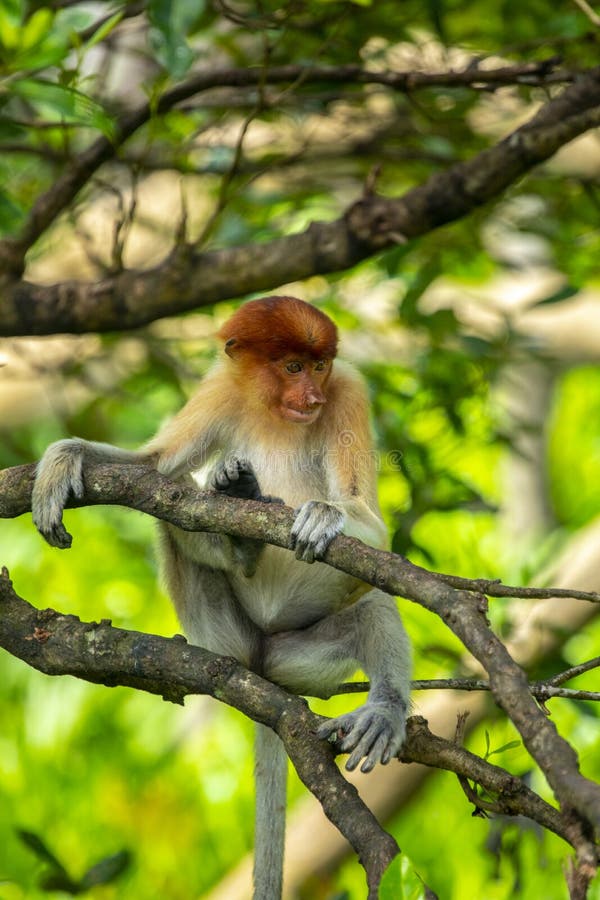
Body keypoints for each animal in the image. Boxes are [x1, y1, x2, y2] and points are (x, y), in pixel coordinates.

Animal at [31, 296, 412, 900]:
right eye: (292, 367)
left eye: (320, 366)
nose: (313, 399)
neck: (274, 413)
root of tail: (261, 660)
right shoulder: (220, 391)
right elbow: (151, 465)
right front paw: (62, 462)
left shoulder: (349, 393)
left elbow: (369, 521)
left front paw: (324, 514)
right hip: (223, 632)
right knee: (173, 497)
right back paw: (238, 527)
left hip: (304, 656)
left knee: (371, 600)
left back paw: (384, 710)